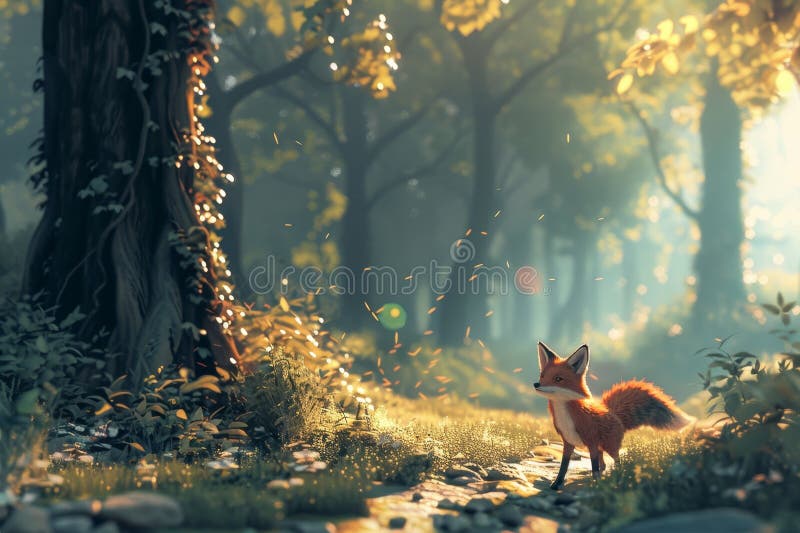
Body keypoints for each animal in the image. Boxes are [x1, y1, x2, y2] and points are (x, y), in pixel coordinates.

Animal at [533, 342, 694, 490]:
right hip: (600, 447)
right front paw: (556, 484)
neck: (566, 417)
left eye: (558, 379)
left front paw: (596, 485)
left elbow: (594, 467)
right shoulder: (568, 442)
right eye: (542, 376)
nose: (536, 384)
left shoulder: (591, 442)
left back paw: (617, 476)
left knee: (616, 461)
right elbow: (563, 467)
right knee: (603, 463)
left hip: (609, 446)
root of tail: (614, 414)